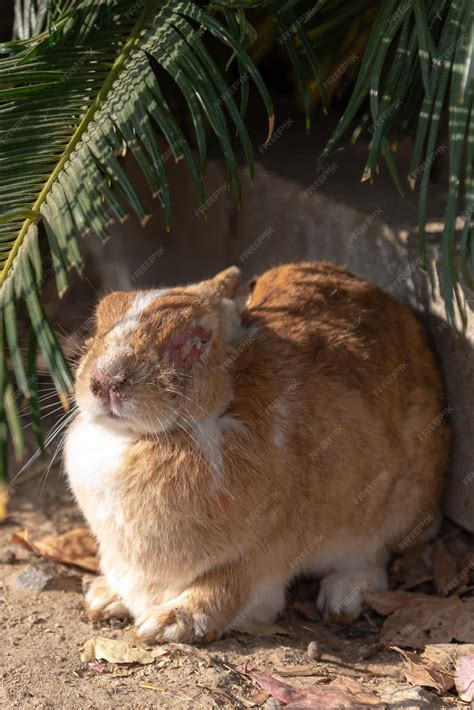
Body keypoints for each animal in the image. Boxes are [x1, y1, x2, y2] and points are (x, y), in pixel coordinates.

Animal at [65, 261, 450, 643]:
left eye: (196, 340)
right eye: (97, 326)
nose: (105, 383)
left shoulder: (259, 555)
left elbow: (223, 590)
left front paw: (168, 624)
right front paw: (104, 597)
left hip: (388, 511)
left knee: (373, 560)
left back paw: (341, 601)